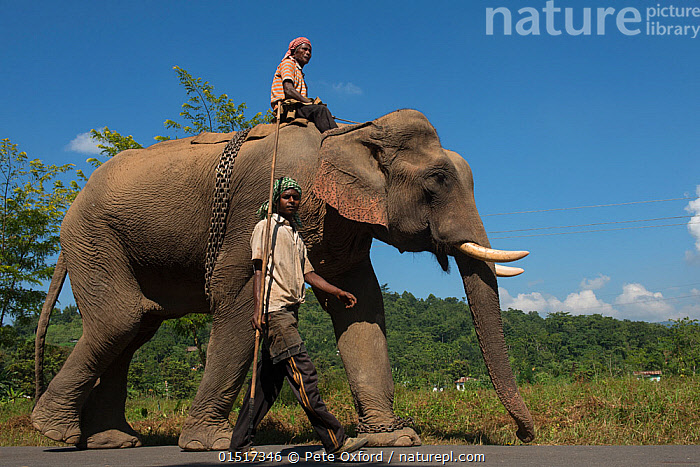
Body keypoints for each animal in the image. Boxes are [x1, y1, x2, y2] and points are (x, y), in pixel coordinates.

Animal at [32, 109, 534, 450]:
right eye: (437, 179)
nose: (525, 435)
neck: (348, 134)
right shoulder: (252, 213)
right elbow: (239, 300)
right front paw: (210, 445)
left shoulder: (341, 228)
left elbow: (362, 307)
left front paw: (395, 439)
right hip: (94, 237)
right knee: (122, 320)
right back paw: (54, 433)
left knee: (137, 327)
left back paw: (111, 441)